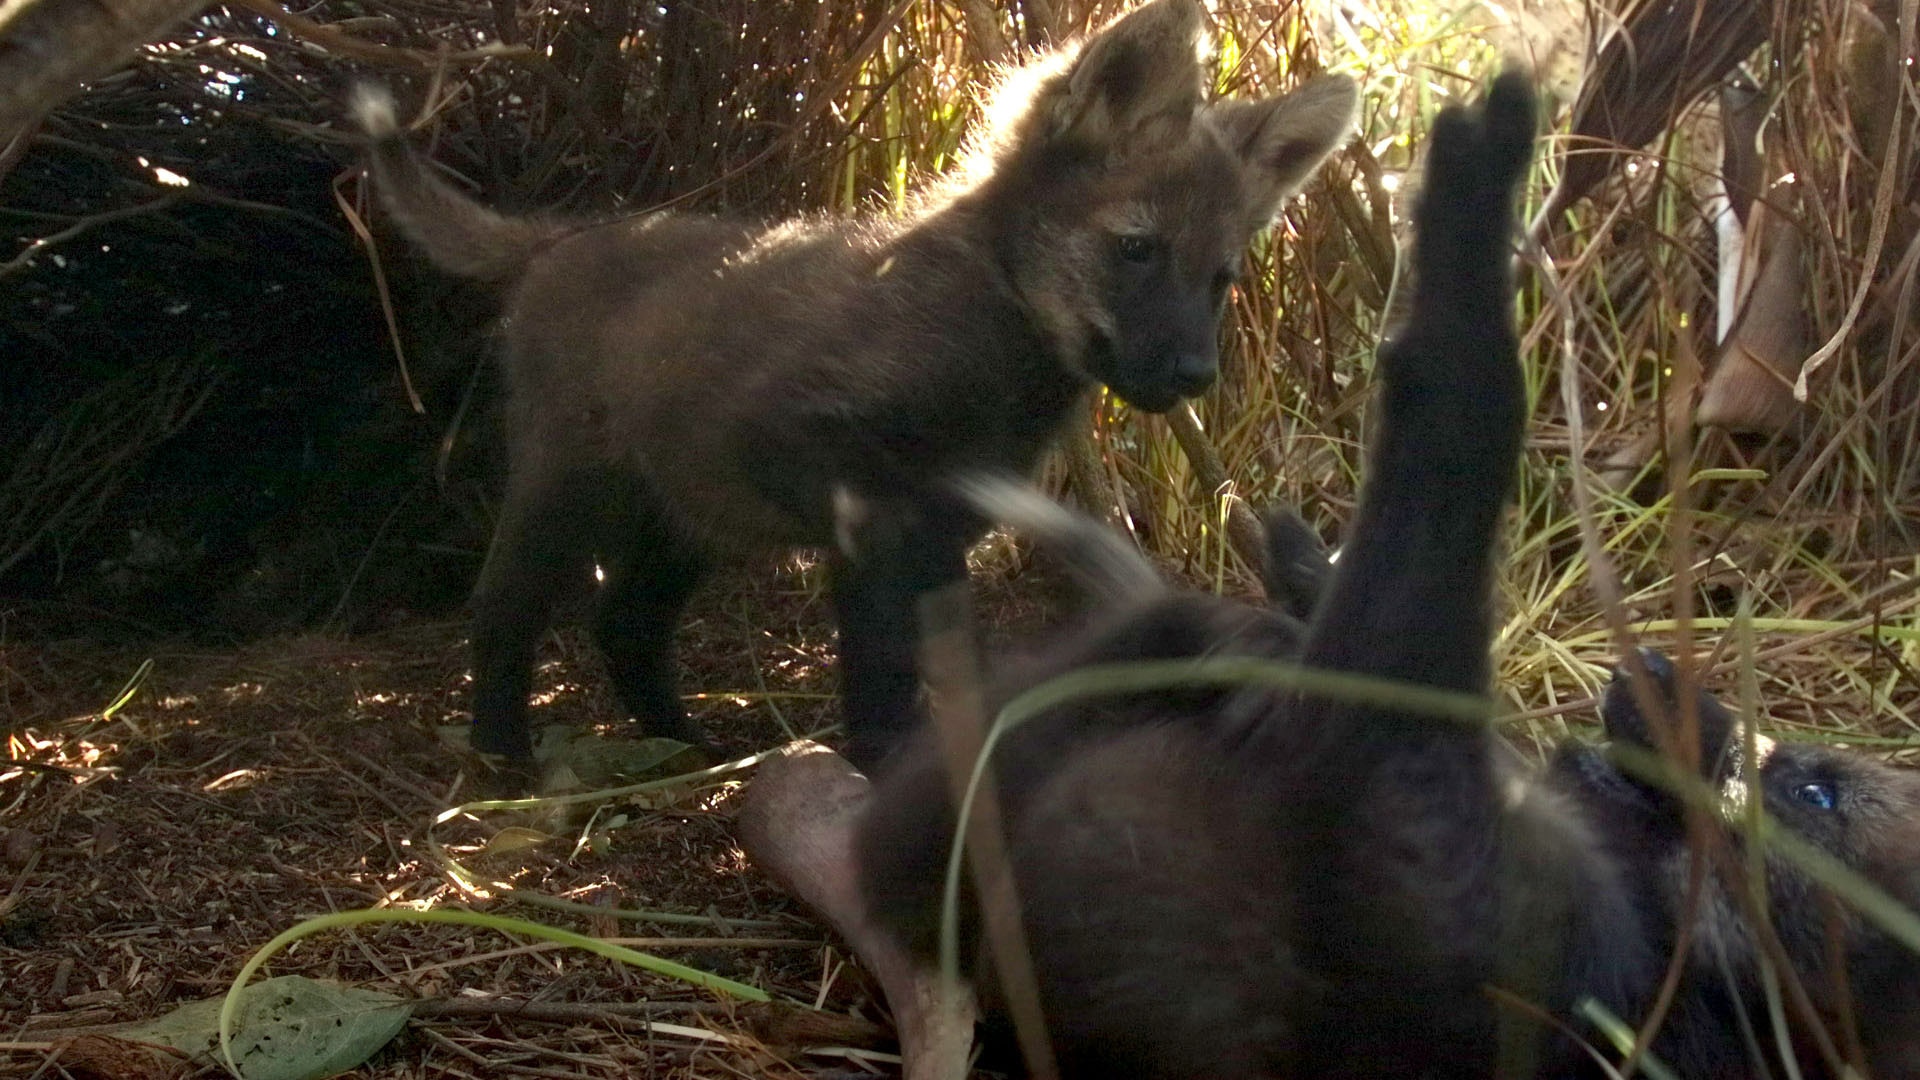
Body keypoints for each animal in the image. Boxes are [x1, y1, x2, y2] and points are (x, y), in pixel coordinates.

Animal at [350, 0, 1357, 772]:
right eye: (1137, 249)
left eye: (1222, 278)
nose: (1196, 375)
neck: (986, 335)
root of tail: (556, 234)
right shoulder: (824, 466)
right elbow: (878, 651)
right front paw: (882, 761)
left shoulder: (951, 521)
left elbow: (936, 656)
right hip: (572, 487)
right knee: (503, 610)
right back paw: (502, 764)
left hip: (686, 516)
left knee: (624, 624)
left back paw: (687, 750)